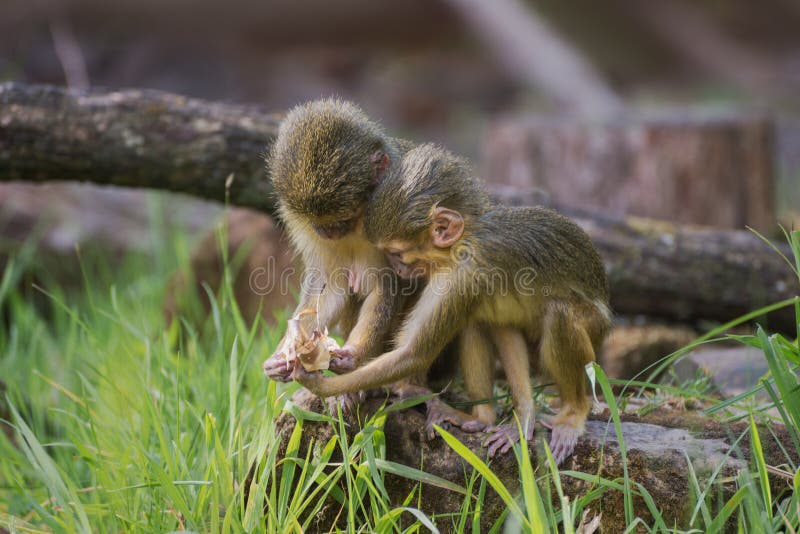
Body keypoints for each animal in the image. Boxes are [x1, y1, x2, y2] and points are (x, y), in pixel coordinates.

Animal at [292, 143, 611, 464]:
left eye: (396, 253)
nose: (398, 269)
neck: (461, 244)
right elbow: (500, 326)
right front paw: (523, 419)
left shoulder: (463, 275)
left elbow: (413, 354)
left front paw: (318, 382)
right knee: (478, 322)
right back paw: (484, 418)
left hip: (595, 331)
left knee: (560, 314)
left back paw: (573, 414)